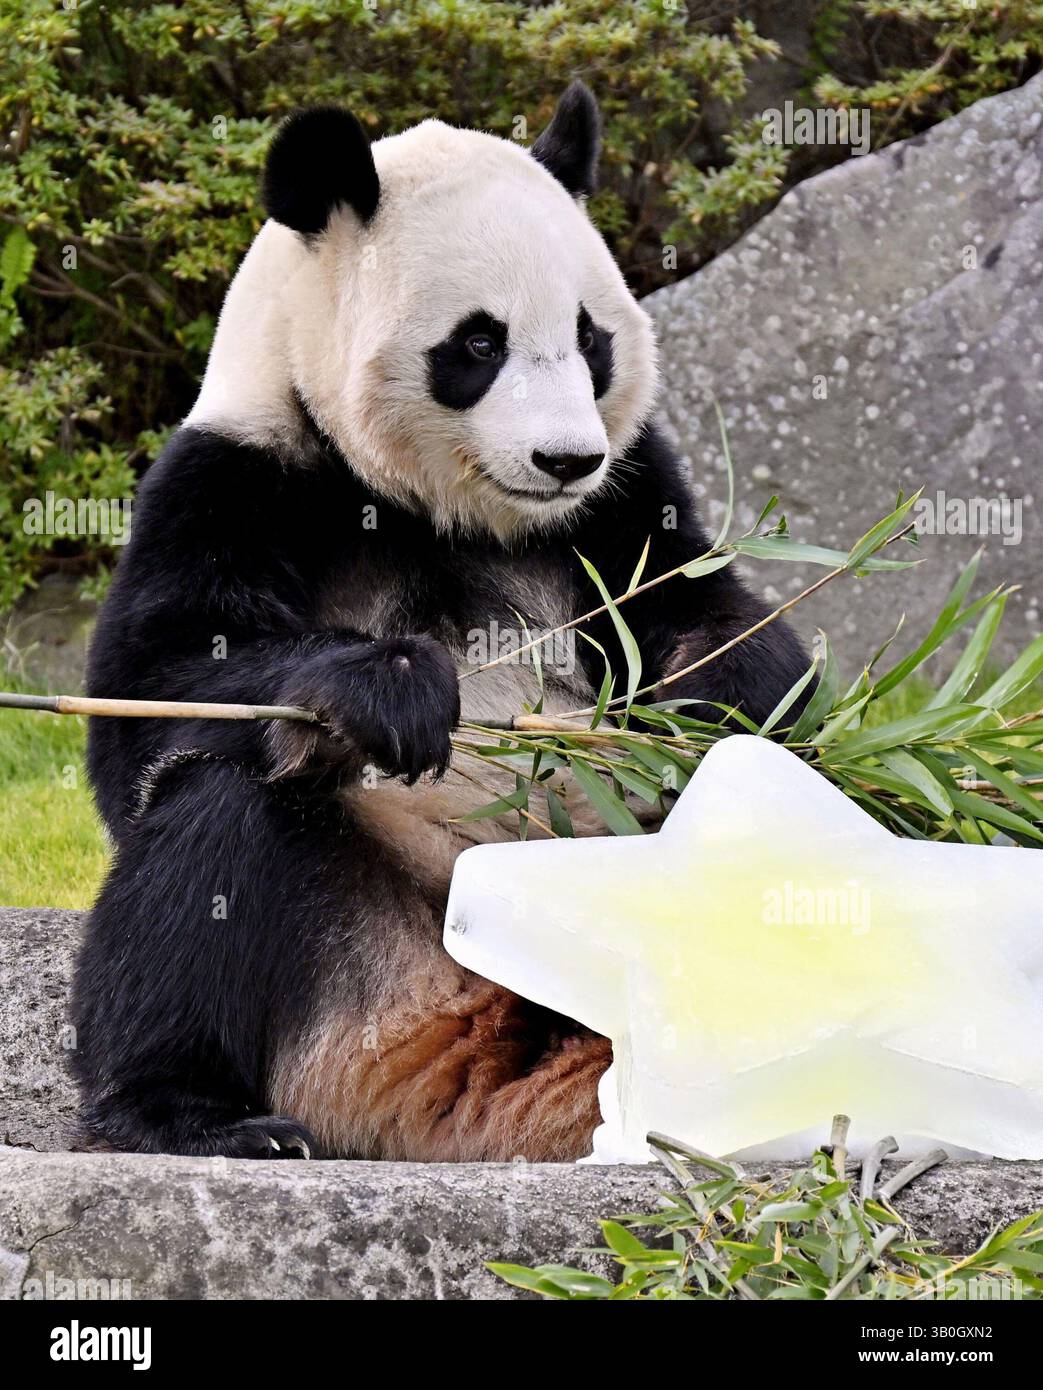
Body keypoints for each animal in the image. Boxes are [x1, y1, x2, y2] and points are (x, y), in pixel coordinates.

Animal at [71, 85, 810, 1162]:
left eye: (590, 338)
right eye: (478, 343)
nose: (564, 458)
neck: (447, 510)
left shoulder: (621, 497)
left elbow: (693, 609)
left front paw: (732, 687)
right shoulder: (238, 476)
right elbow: (154, 681)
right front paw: (393, 686)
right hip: (361, 962)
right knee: (212, 824)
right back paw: (199, 1117)